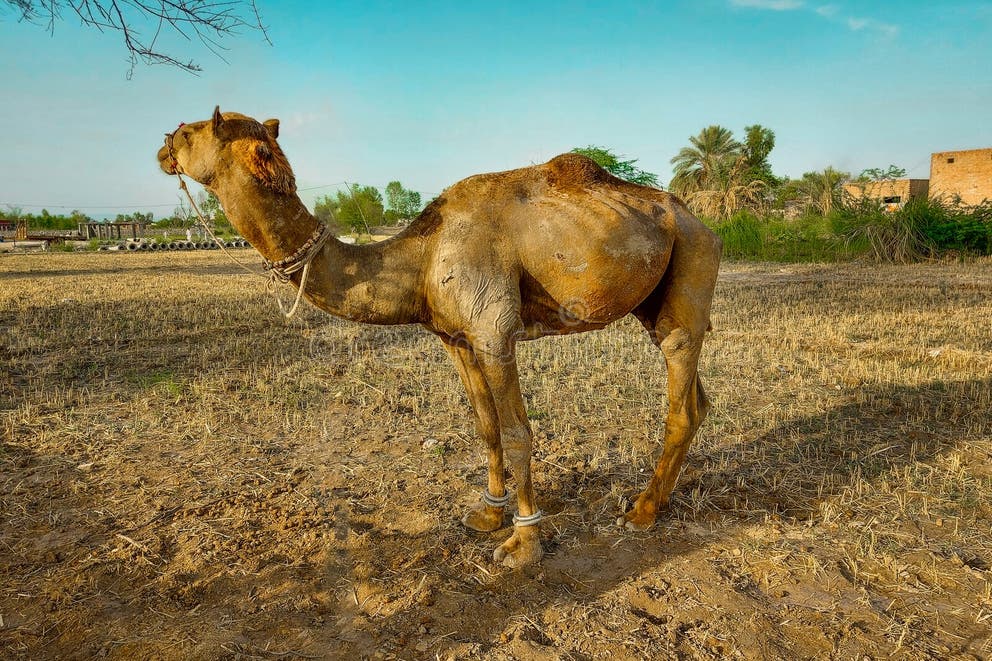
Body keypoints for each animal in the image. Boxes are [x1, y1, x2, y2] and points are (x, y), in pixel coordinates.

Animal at [157, 108, 722, 568]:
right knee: (695, 395)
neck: (421, 257)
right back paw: (658, 500)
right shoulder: (456, 338)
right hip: (655, 295)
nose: (162, 148)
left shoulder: (494, 333)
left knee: (680, 379)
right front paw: (489, 515)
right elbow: (486, 426)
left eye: (189, 131)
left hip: (692, 259)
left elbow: (518, 432)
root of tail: (700, 219)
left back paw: (641, 512)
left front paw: (523, 544)